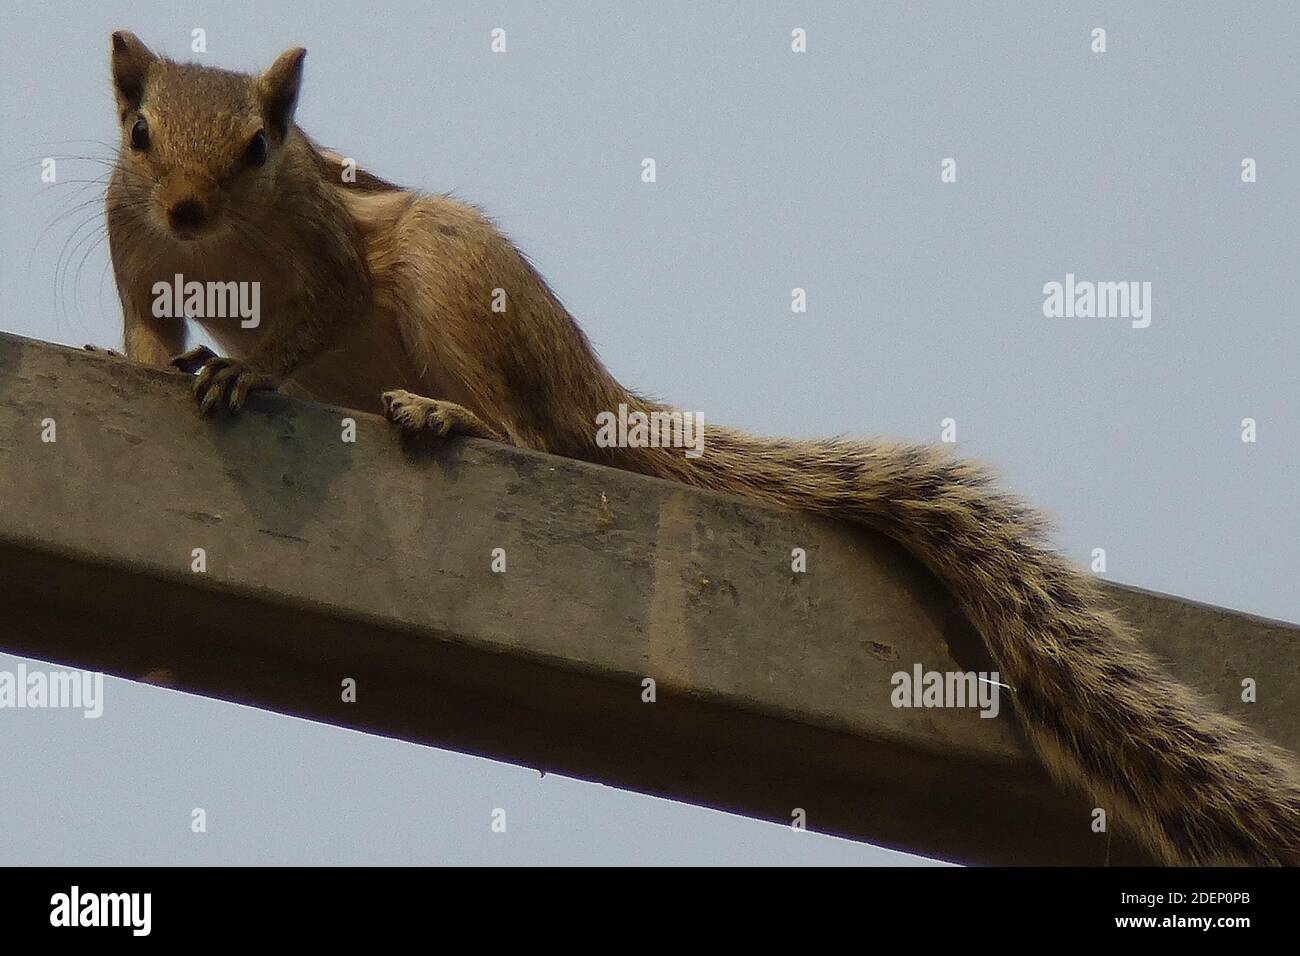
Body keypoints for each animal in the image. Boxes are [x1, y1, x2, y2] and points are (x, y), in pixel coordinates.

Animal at [101, 31, 1300, 865]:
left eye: (263, 144)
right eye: (139, 133)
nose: (191, 207)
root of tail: (590, 386)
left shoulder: (329, 249)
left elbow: (321, 309)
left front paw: (251, 369)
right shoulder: (135, 243)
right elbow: (146, 324)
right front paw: (147, 360)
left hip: (453, 277)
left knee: (533, 434)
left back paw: (454, 417)